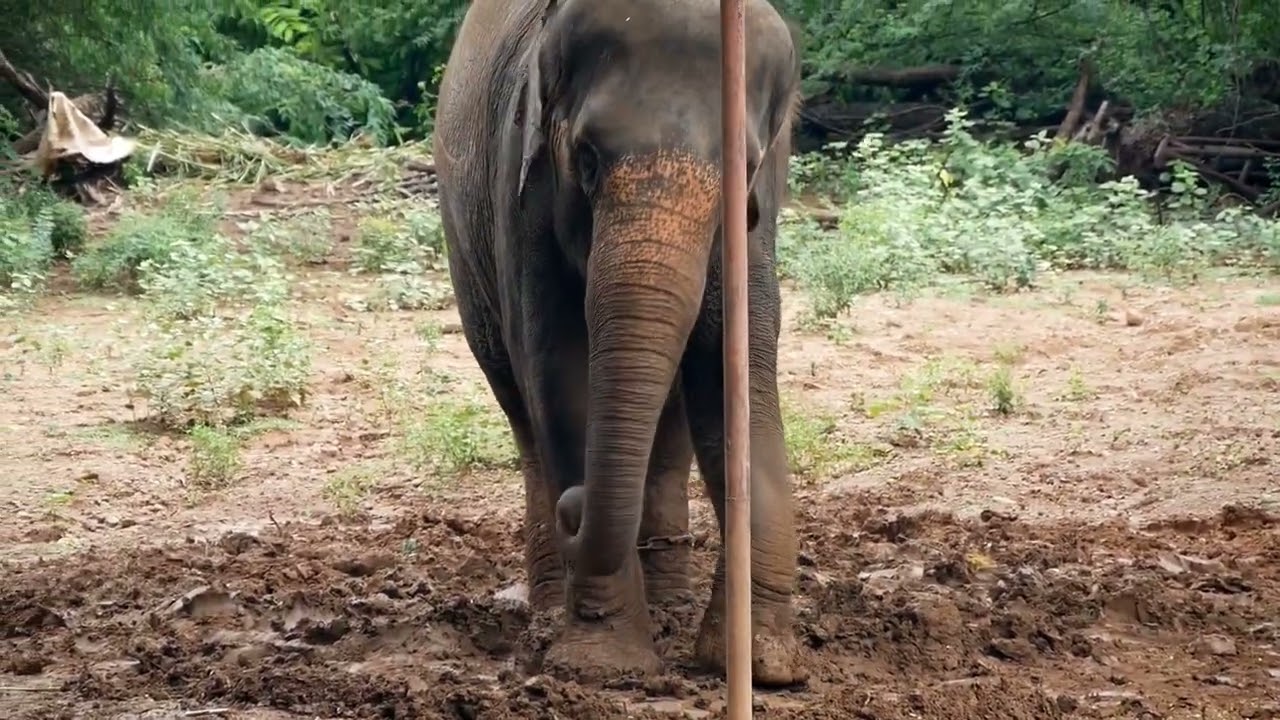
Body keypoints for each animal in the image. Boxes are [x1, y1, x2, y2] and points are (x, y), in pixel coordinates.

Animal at [431, 0, 807, 686]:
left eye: (743, 168)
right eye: (585, 159)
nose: (575, 509)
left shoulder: (760, 216)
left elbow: (732, 367)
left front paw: (759, 665)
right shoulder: (522, 186)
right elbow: (558, 373)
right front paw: (602, 664)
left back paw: (667, 599)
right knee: (520, 408)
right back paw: (550, 608)